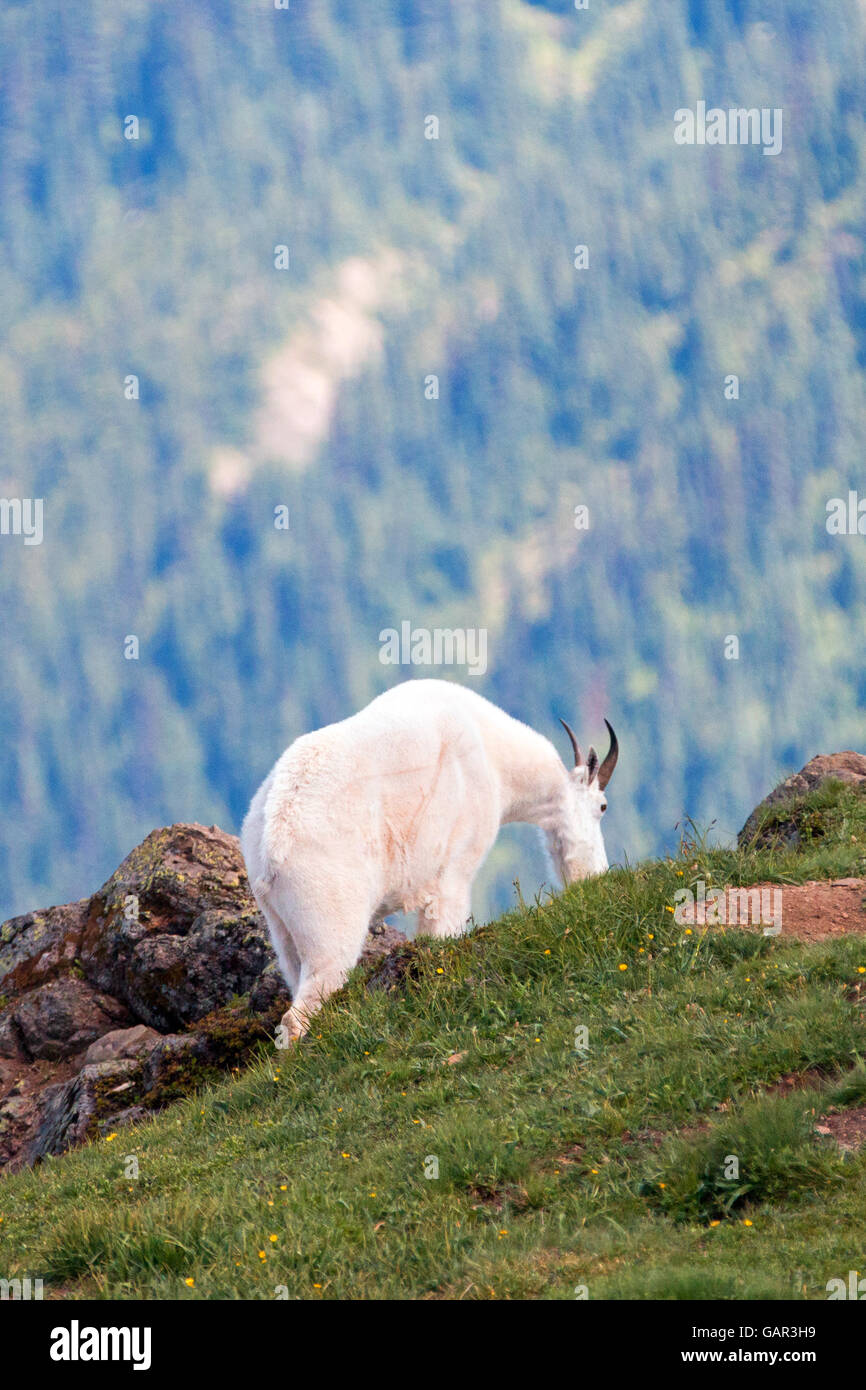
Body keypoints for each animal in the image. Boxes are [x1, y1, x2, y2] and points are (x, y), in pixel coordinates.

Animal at [241, 679, 618, 1042]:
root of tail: (274, 838)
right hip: (328, 917)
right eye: (602, 807)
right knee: (300, 1012)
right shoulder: (453, 874)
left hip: (281, 929)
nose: (595, 874)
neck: (495, 758)